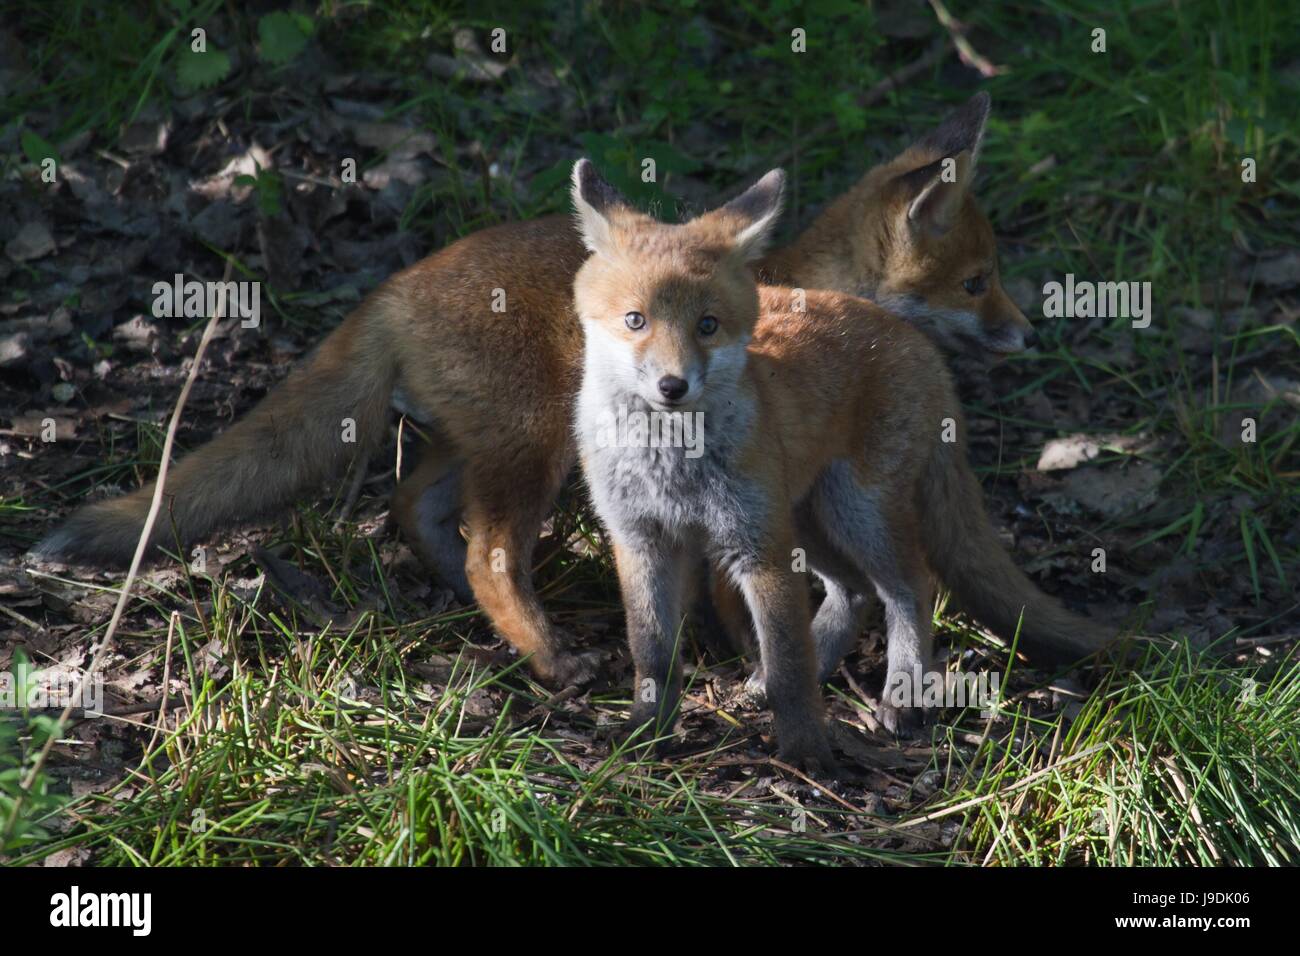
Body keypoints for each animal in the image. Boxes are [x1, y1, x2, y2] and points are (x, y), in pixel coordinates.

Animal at [31, 94, 1072, 690]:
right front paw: (748, 669)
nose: (1032, 333)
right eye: (978, 282)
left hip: (480, 444)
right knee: (490, 551)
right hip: (533, 444)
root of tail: (394, 287)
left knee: (414, 512)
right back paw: (545, 654)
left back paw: (485, 616)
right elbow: (741, 599)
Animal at [568, 159, 1108, 745]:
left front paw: (803, 745)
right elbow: (651, 652)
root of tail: (914, 339)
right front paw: (647, 730)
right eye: (635, 320)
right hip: (808, 519)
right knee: (854, 592)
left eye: (707, 326)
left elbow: (787, 652)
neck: (669, 466)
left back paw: (901, 694)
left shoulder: (758, 546)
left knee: (908, 586)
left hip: (854, 512)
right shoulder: (639, 540)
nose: (672, 386)